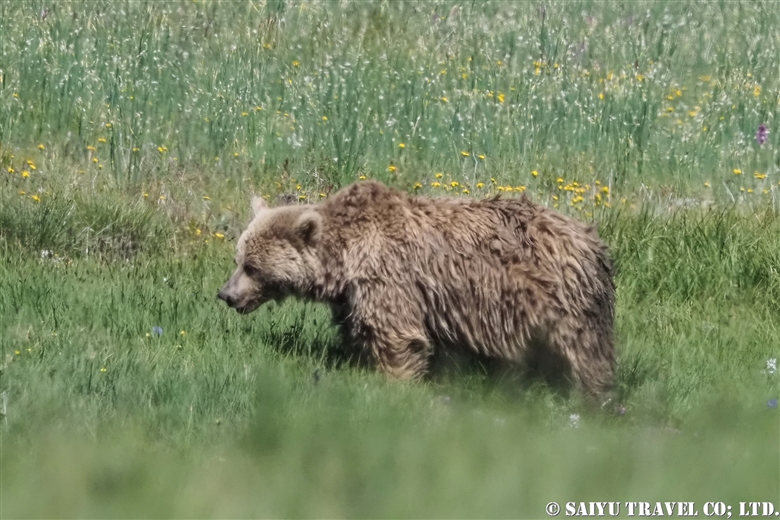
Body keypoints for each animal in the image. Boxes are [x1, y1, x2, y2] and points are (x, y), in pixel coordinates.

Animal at [218, 180, 615, 397]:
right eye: (238, 258)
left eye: (251, 266)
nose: (226, 294)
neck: (344, 258)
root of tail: (592, 239)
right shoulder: (352, 295)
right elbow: (357, 329)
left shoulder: (388, 278)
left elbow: (395, 336)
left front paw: (396, 386)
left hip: (563, 298)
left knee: (586, 350)